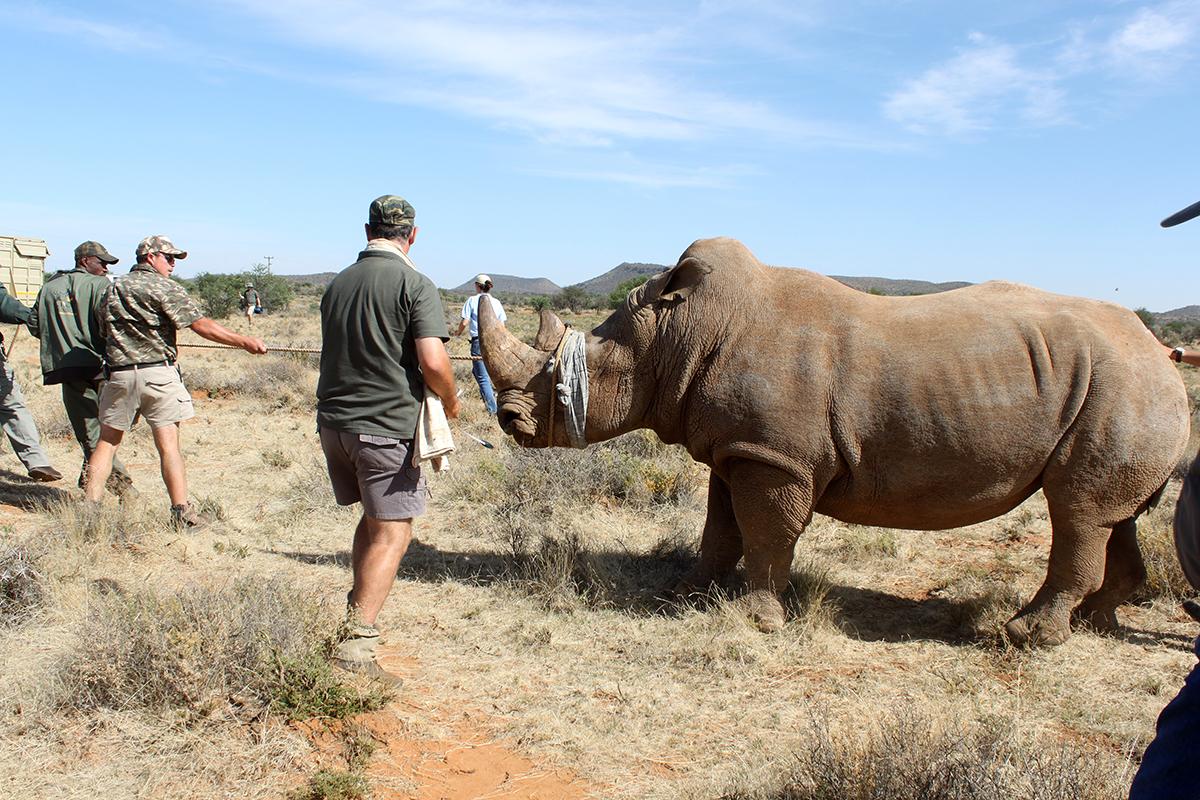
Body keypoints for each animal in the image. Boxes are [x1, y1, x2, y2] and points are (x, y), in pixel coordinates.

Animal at [479, 237, 1189, 646]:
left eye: (568, 377)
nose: (509, 421)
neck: (676, 332)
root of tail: (1162, 351)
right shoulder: (740, 450)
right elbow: (720, 528)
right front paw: (684, 594)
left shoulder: (776, 458)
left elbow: (766, 533)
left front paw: (756, 621)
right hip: (1123, 389)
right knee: (1112, 513)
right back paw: (1097, 625)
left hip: (1123, 385)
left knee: (1077, 511)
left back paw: (1028, 637)